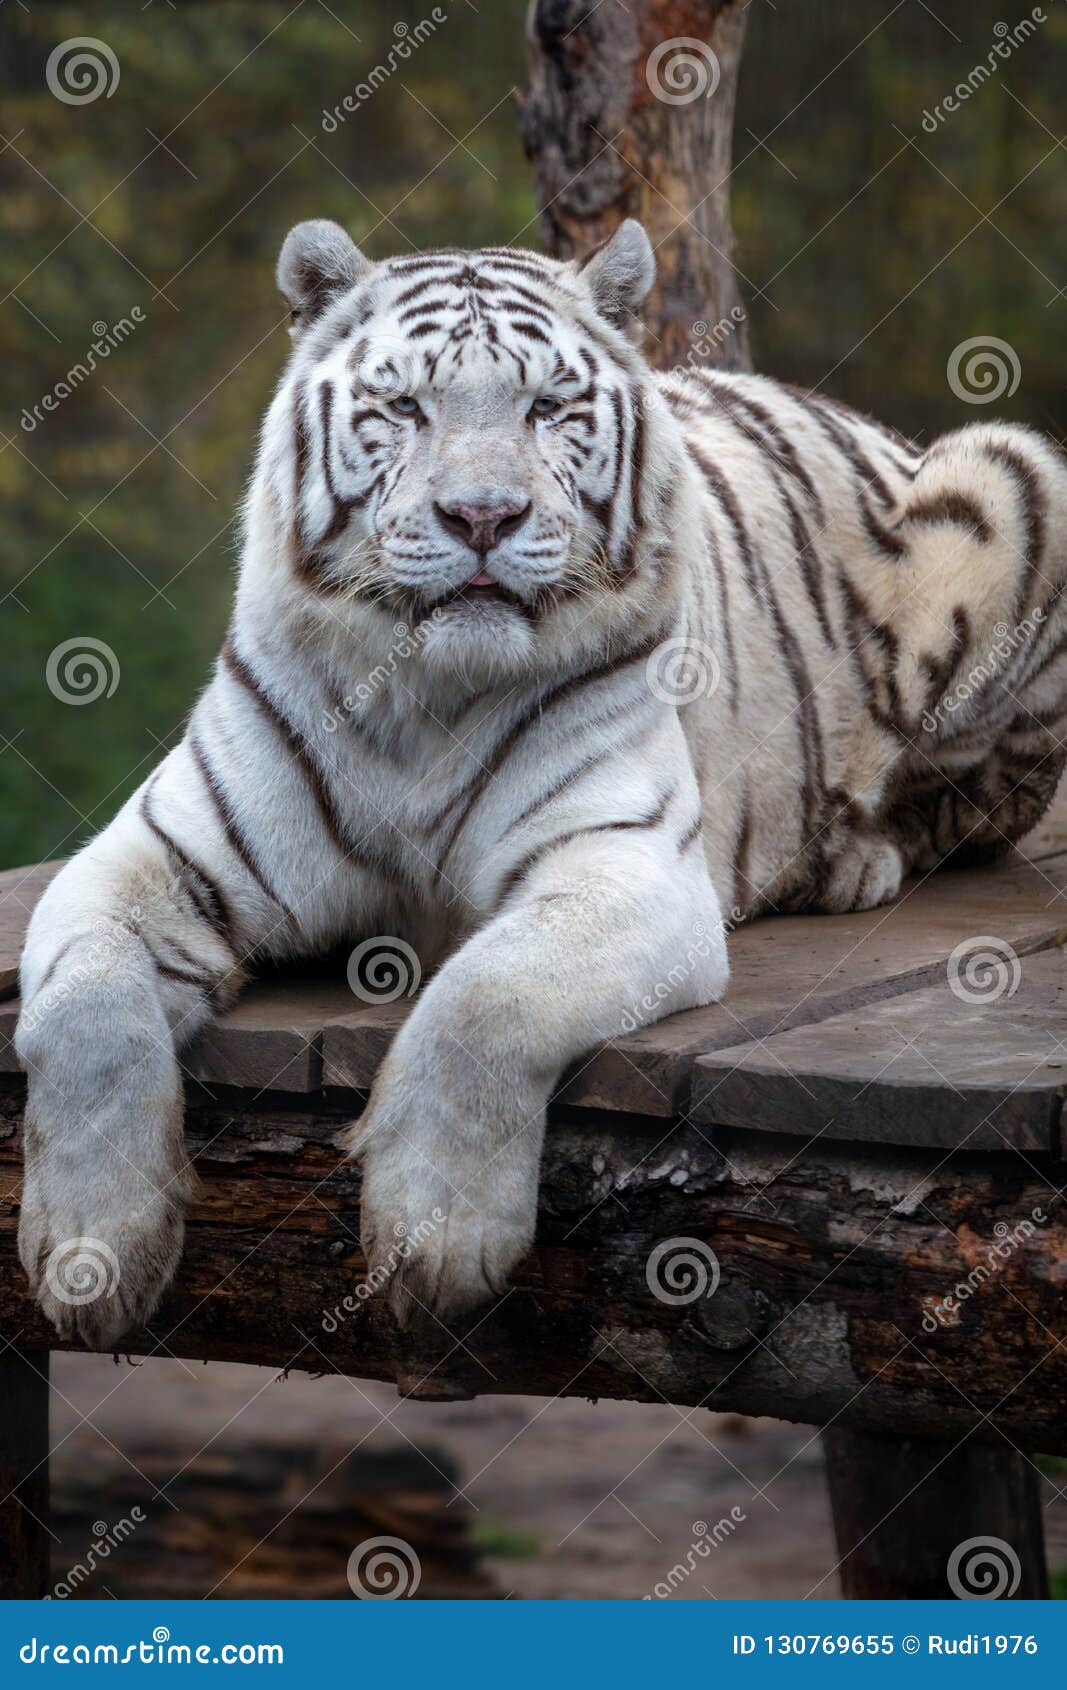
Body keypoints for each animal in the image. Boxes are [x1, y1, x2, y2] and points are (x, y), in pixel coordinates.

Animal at [16, 217, 1067, 1347]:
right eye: (405, 406)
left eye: (546, 407)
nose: (482, 516)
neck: (420, 700)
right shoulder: (153, 852)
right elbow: (82, 1014)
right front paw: (91, 1255)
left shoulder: (623, 862)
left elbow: (487, 999)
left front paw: (433, 1245)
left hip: (1013, 477)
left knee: (978, 807)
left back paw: (847, 861)